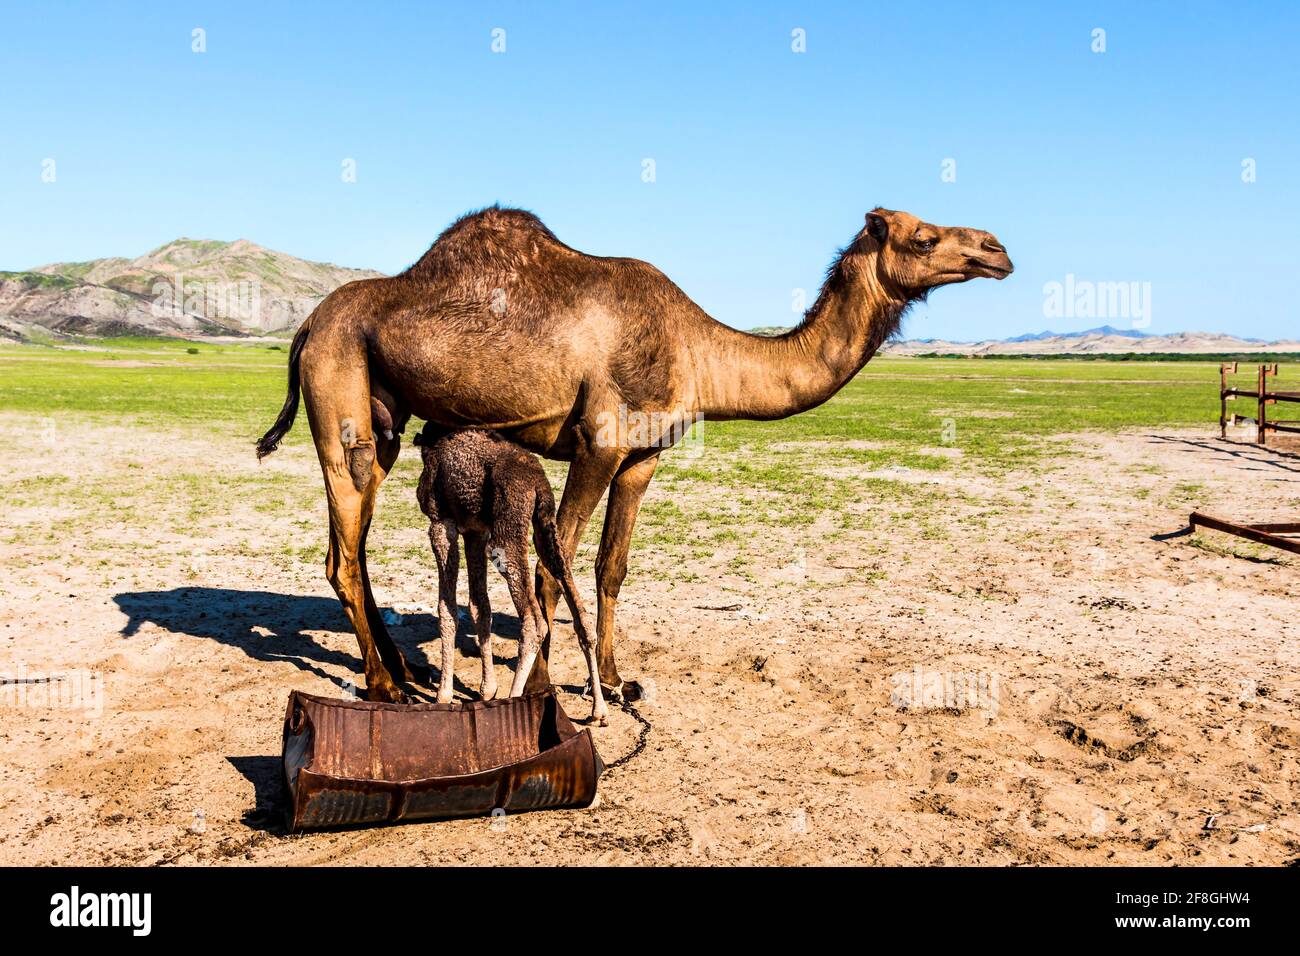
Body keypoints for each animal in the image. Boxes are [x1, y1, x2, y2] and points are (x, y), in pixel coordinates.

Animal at [414, 427, 608, 725]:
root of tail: (539, 483)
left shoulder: (441, 523)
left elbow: (447, 609)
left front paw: (443, 695)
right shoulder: (475, 530)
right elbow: (479, 606)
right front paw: (487, 690)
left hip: (506, 534)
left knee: (534, 622)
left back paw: (514, 700)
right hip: (544, 527)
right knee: (581, 616)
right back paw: (598, 710)